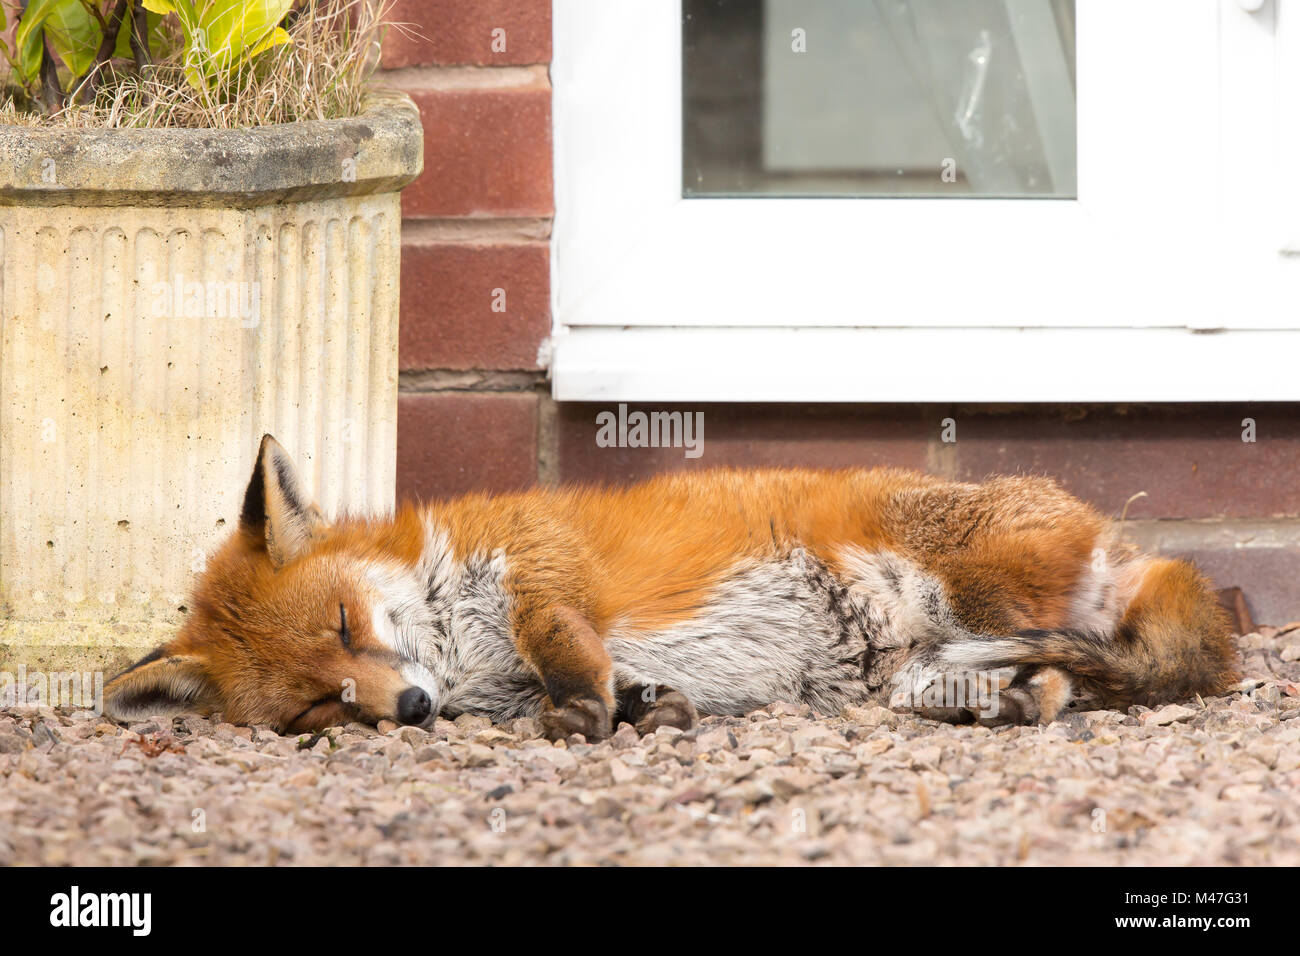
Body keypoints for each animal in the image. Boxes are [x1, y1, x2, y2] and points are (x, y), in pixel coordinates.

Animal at [102, 434, 1240, 739]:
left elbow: (559, 636)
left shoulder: (542, 563)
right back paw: (992, 702)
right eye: (312, 705)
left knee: (1075, 673)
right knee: (1043, 684)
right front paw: (643, 704)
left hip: (967, 589)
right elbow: (615, 680)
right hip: (928, 657)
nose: (414, 709)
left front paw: (589, 707)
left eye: (346, 624)